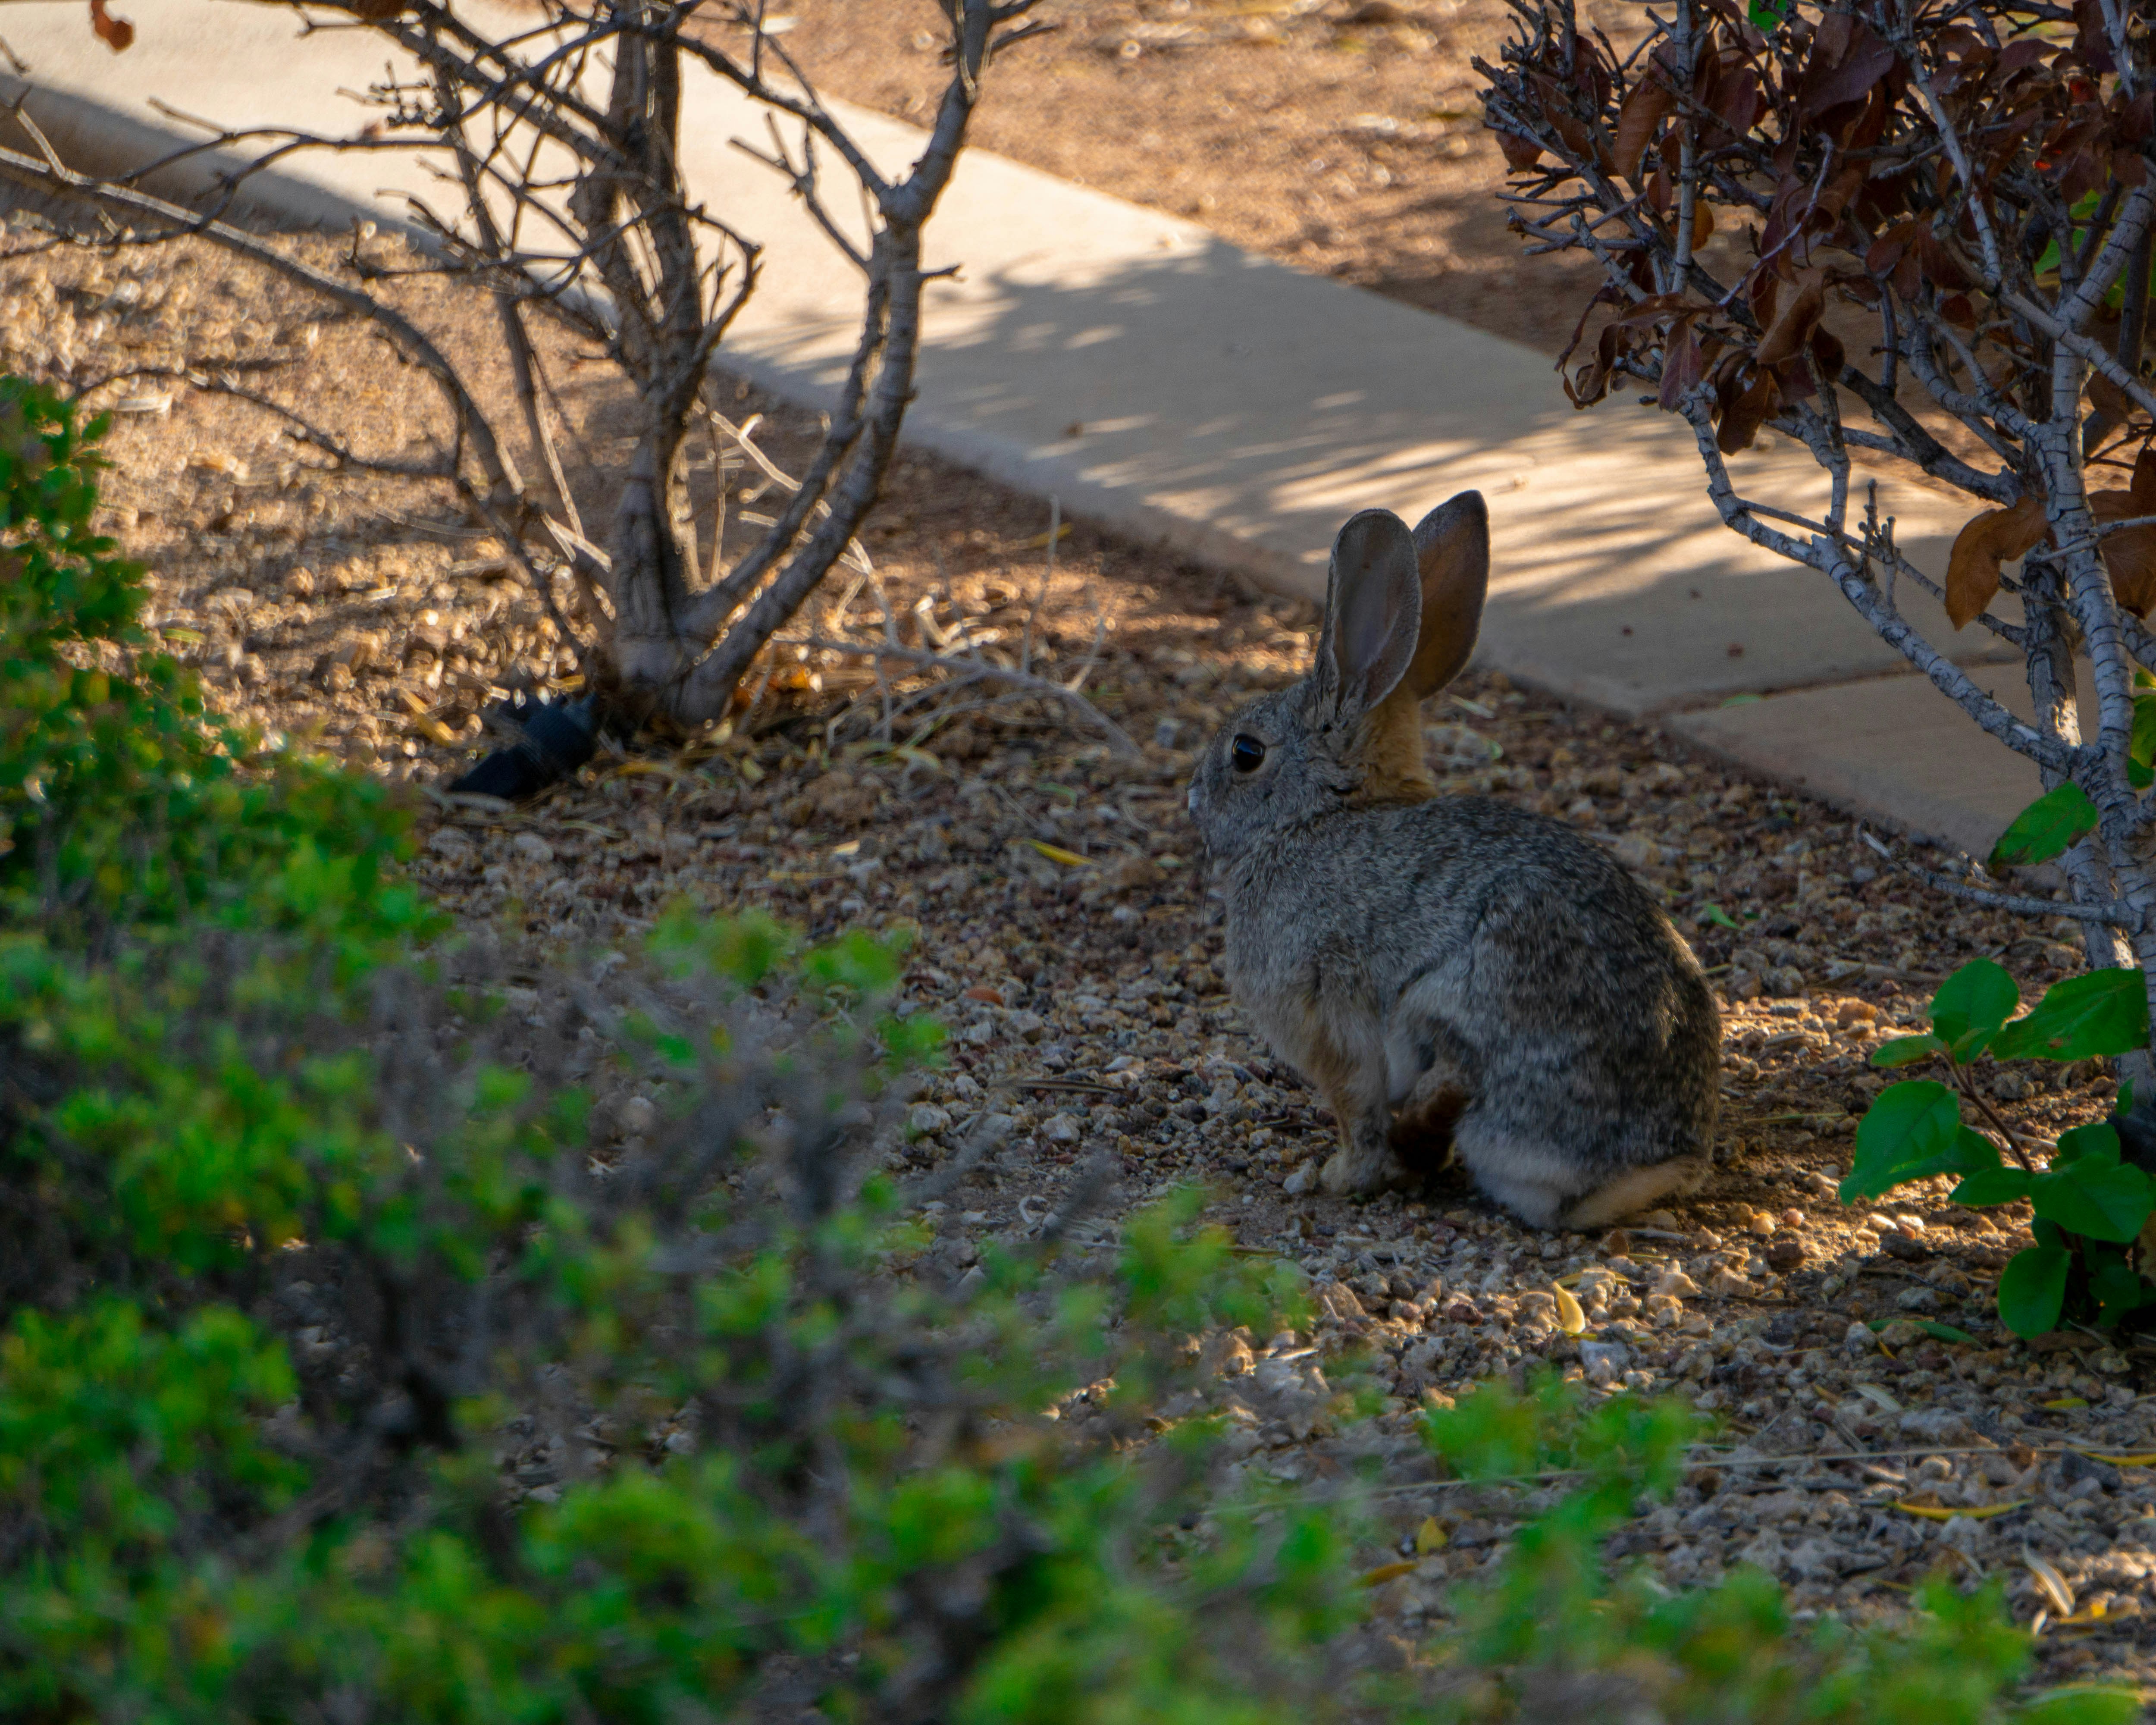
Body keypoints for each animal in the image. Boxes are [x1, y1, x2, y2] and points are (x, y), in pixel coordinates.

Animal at [1185, 495, 1721, 1230]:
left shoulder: (1329, 1026)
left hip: (1446, 1006)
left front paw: (1336, 1177)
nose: (1192, 800)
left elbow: (1356, 1112)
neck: (1315, 818)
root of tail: (1652, 1166)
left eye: (1246, 753)